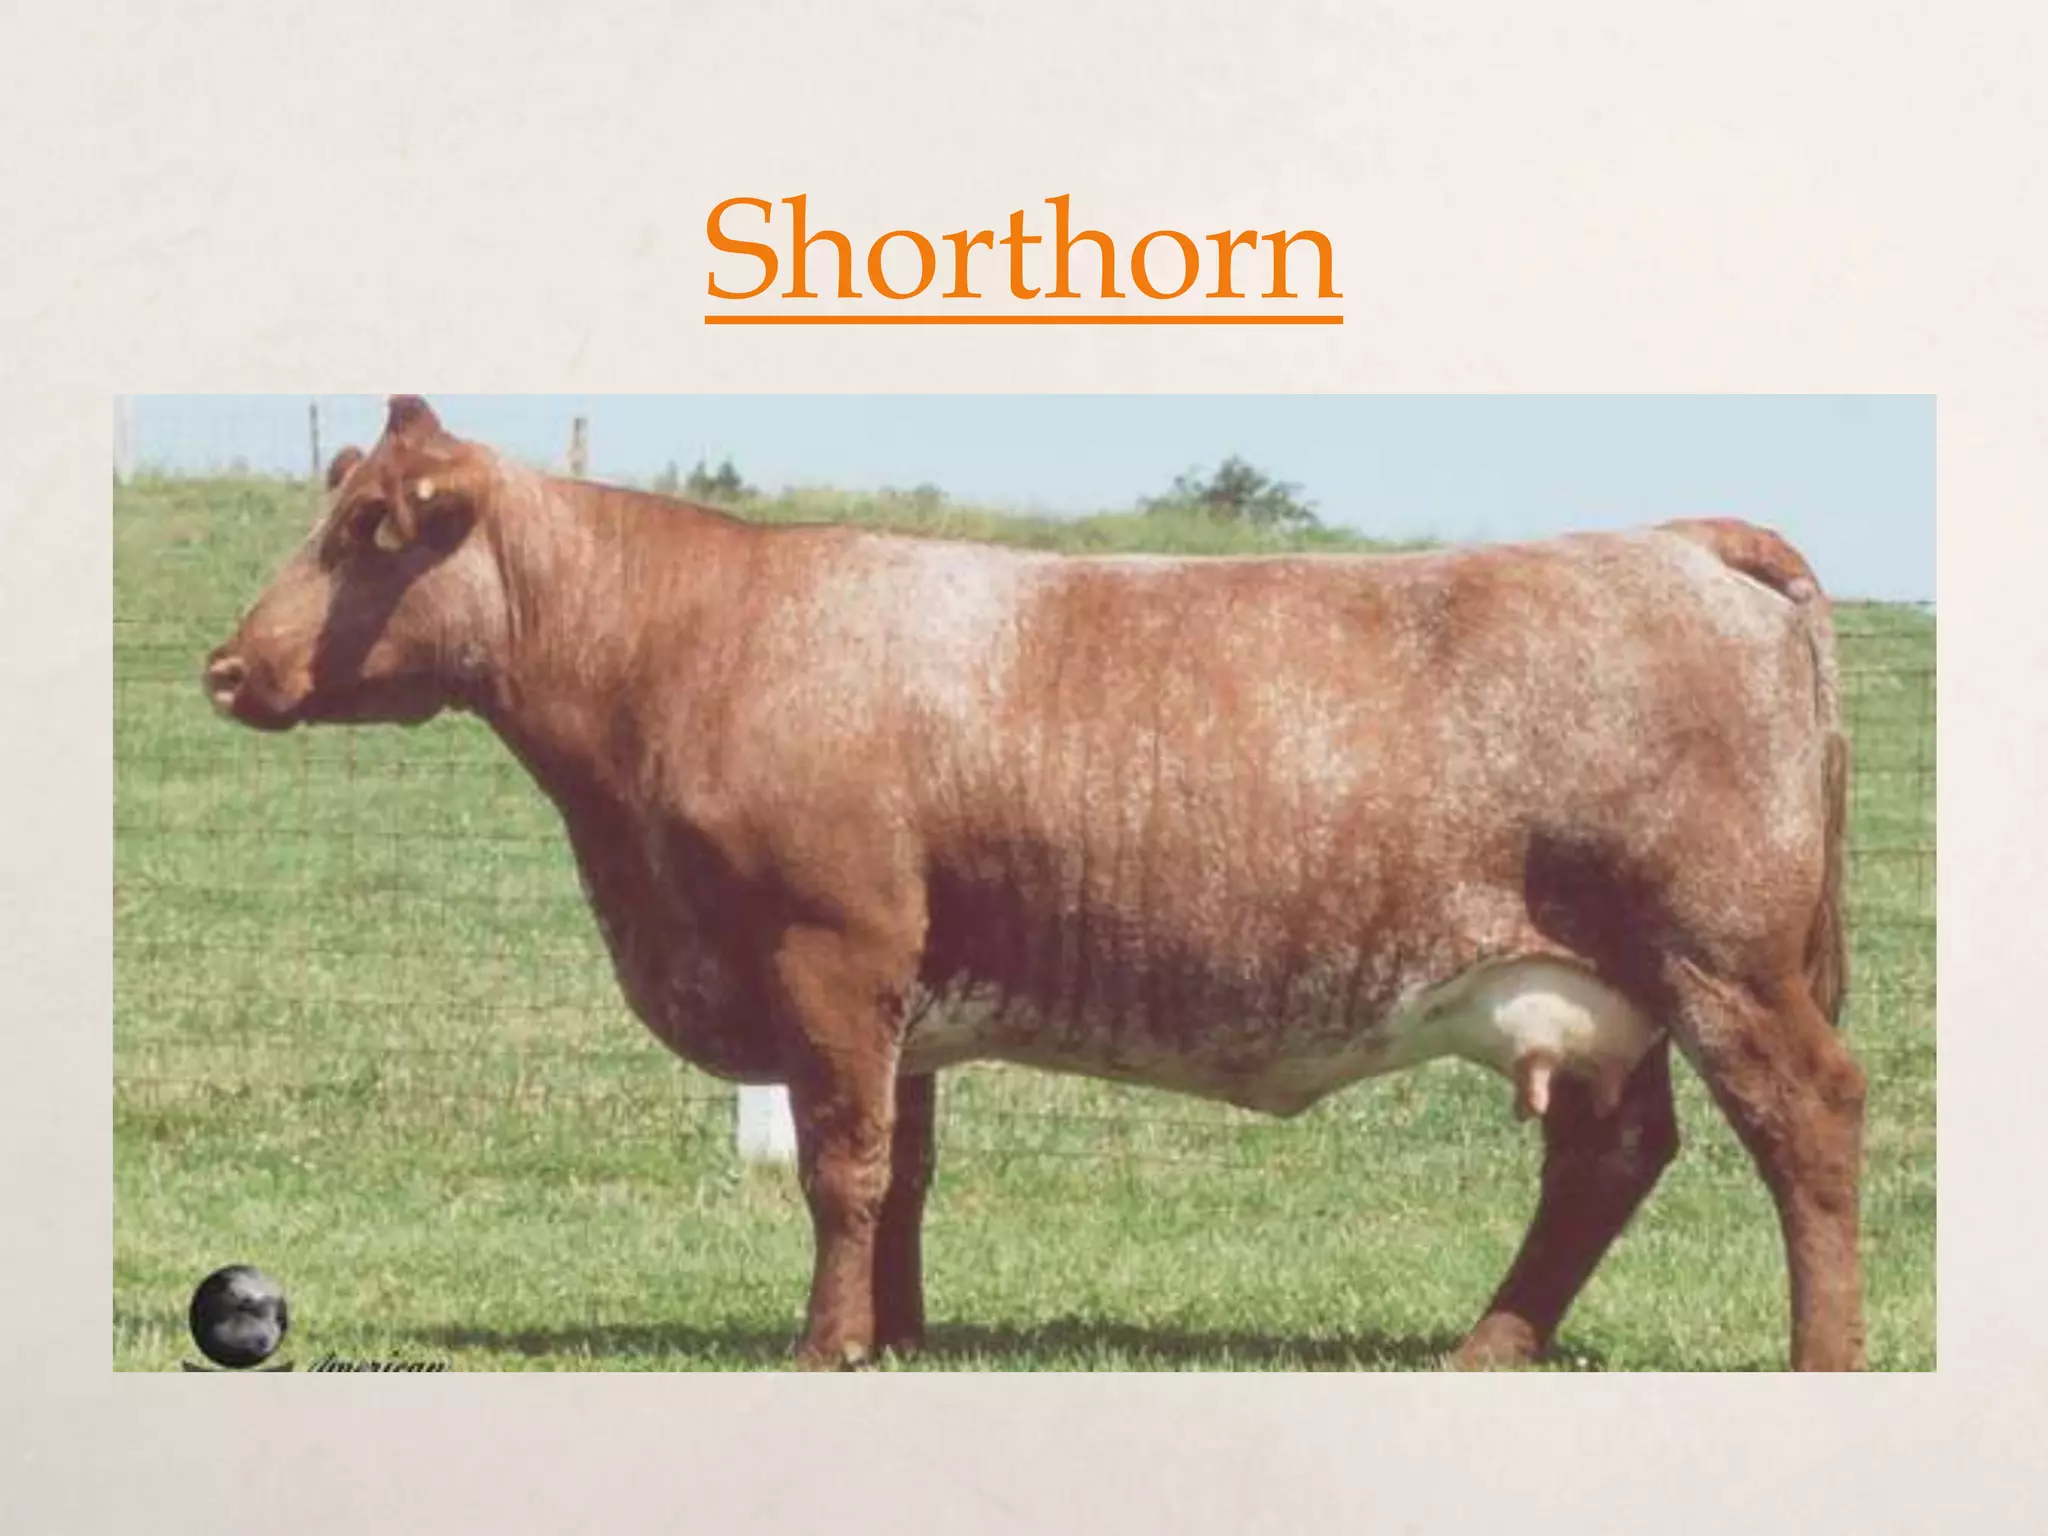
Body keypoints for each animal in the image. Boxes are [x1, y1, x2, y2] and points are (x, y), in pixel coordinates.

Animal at [204, 396, 1865, 1371]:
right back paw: (1488, 1350)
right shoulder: (899, 988)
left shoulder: (829, 951)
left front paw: (825, 1351)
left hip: (1722, 962)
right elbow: (905, 1167)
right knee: (1612, 1156)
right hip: (1605, 993)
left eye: (368, 531)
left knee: (1809, 1126)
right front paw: (900, 1337)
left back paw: (1820, 1357)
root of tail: (1682, 539)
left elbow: (841, 1164)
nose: (225, 668)